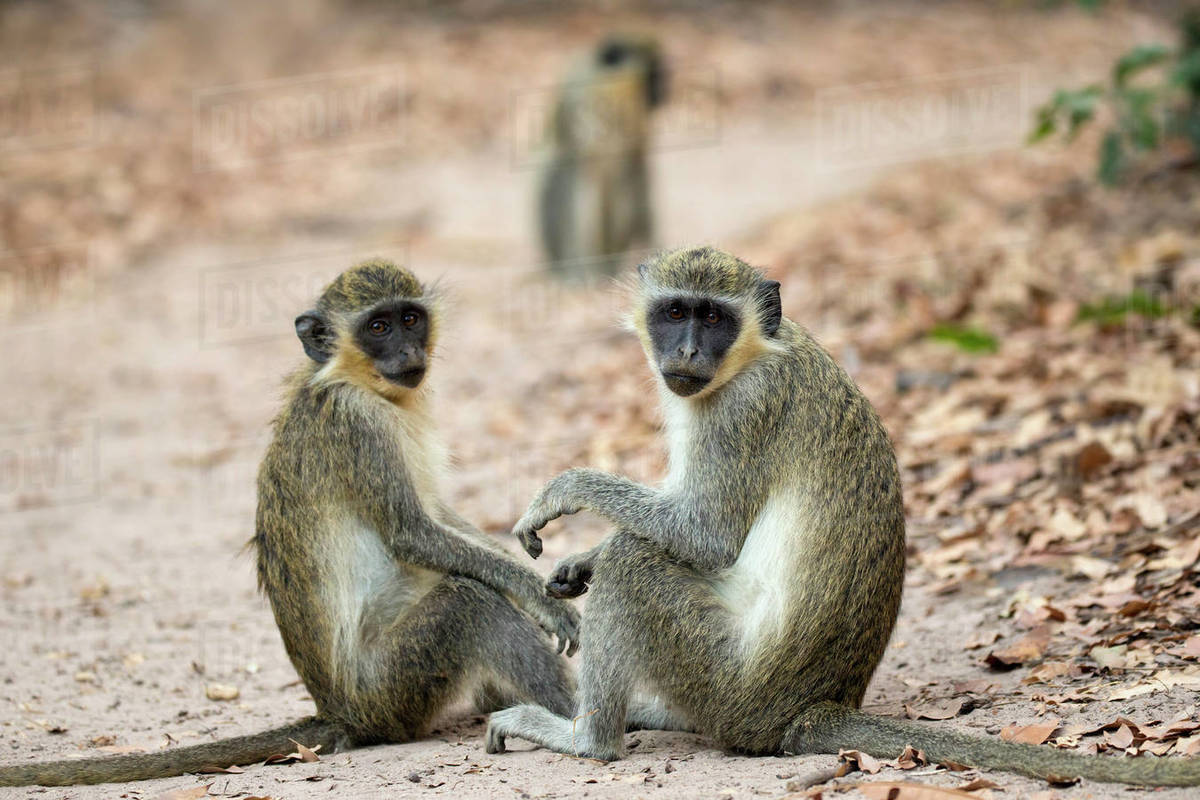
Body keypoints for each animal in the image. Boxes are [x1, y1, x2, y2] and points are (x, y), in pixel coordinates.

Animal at [0, 259, 579, 787]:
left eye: (410, 318)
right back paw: (576, 717)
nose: (408, 353)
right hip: (391, 686)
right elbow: (412, 532)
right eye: (378, 327)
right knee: (467, 602)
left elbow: (441, 520)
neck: (348, 379)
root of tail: (339, 711)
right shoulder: (356, 425)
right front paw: (543, 601)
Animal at [484, 246, 1200, 787]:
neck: (758, 352)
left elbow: (704, 536)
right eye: (676, 311)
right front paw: (578, 563)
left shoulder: (743, 409)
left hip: (724, 680)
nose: (685, 353)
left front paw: (566, 493)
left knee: (638, 562)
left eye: (713, 317)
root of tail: (808, 708)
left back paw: (588, 738)